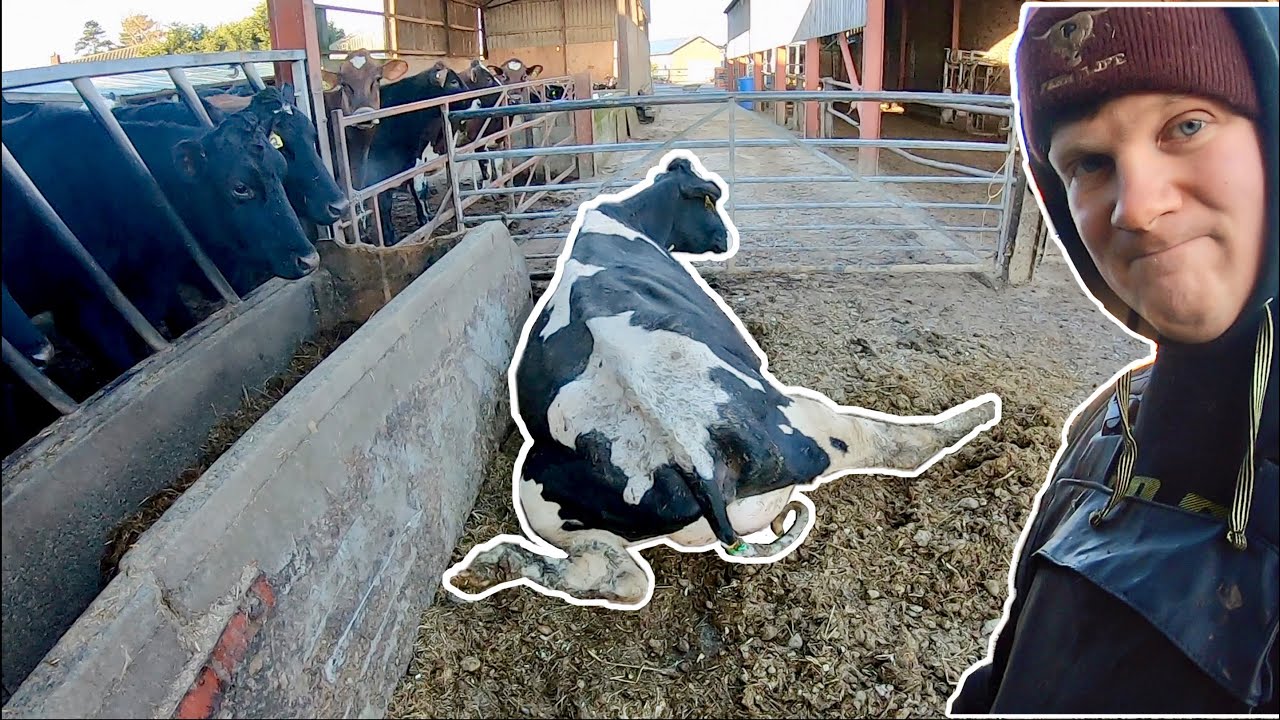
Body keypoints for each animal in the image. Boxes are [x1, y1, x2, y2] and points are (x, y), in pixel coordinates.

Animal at [442, 152, 1002, 610]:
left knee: (618, 576)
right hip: (807, 418)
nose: (727, 238)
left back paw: (488, 567)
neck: (625, 222)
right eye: (711, 203)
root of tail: (691, 455)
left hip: (545, 502)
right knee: (898, 444)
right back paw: (979, 412)